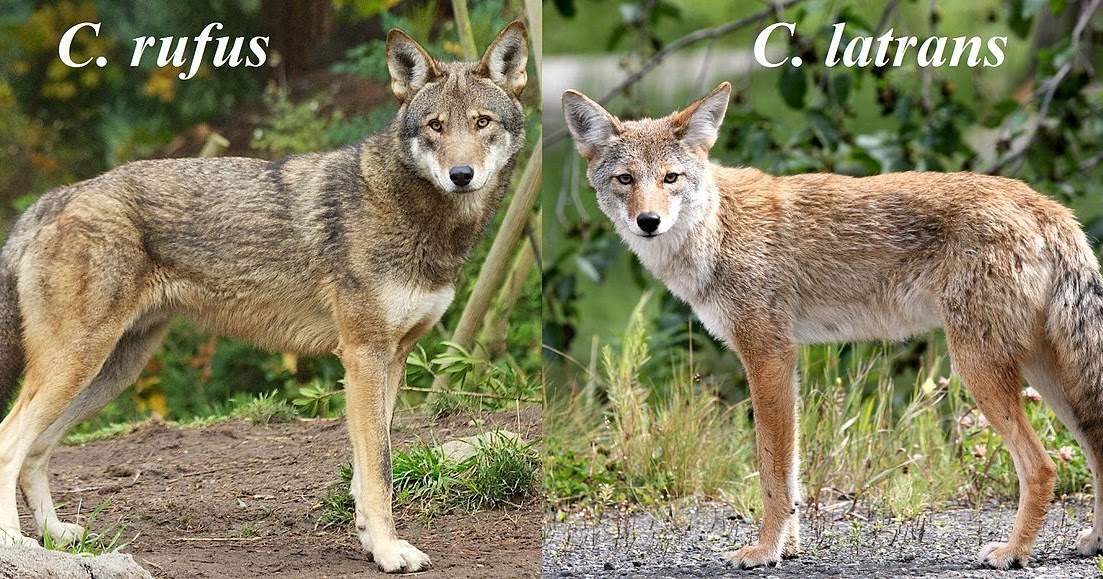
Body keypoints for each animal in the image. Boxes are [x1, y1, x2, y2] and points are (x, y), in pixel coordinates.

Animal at [0, 20, 528, 573]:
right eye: (435, 126)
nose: (462, 175)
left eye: (482, 122)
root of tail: (57, 196)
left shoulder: (393, 358)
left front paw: (370, 541)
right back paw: (16, 542)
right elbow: (380, 470)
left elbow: (366, 473)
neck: (413, 213)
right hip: (78, 364)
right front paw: (388, 551)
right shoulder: (362, 356)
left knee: (35, 451)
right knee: (9, 442)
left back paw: (58, 536)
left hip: (109, 373)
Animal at [563, 82, 1103, 570]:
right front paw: (787, 549)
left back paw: (1013, 553)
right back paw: (1092, 542)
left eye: (670, 177)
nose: (648, 222)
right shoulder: (785, 363)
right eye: (626, 180)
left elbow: (772, 473)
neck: (718, 230)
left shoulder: (767, 357)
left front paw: (762, 552)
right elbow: (791, 473)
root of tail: (1047, 206)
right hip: (1045, 377)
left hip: (982, 370)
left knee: (1043, 466)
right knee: (1095, 447)